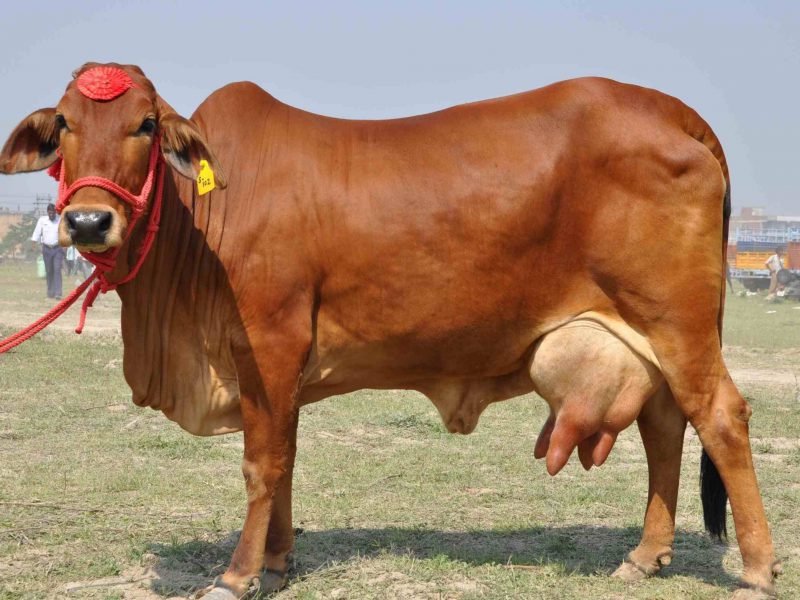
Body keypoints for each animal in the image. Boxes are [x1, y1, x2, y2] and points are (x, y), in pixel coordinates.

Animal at [0, 63, 781, 599]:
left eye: (144, 125)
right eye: (65, 124)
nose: (87, 222)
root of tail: (670, 109)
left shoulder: (270, 344)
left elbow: (261, 464)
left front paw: (239, 573)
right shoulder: (280, 369)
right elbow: (285, 458)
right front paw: (278, 562)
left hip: (677, 325)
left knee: (720, 416)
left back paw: (758, 568)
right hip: (646, 336)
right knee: (664, 426)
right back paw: (646, 556)